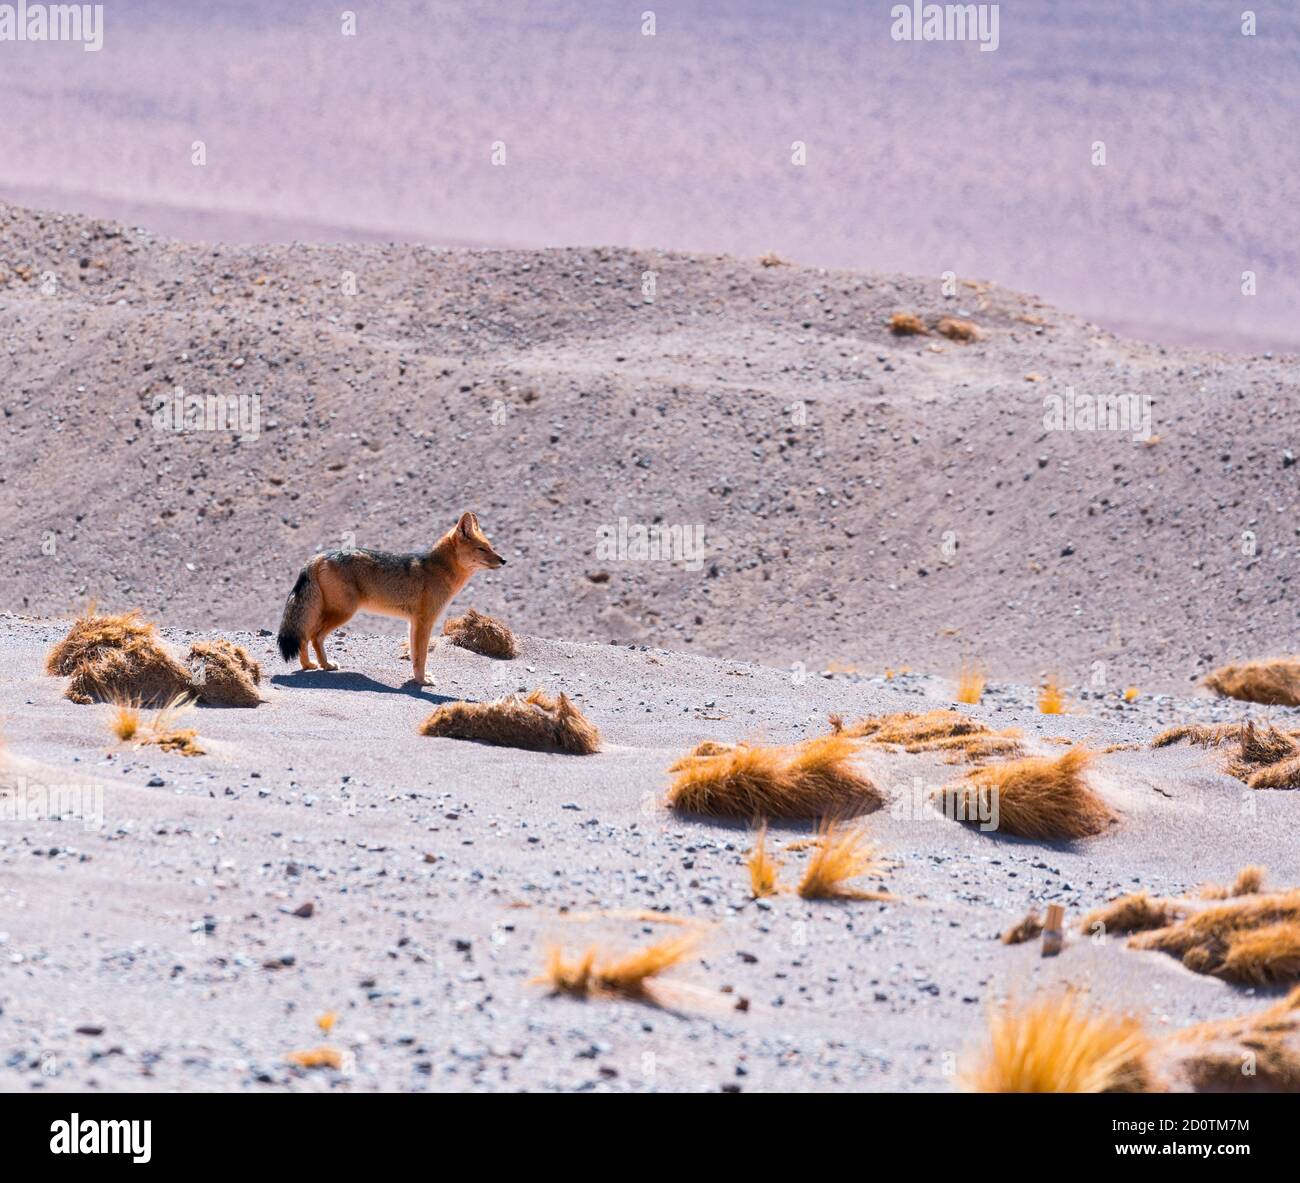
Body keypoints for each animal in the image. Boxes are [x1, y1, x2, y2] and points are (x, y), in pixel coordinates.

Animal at [276, 512, 507, 685]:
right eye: (482, 549)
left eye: (491, 547)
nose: (503, 560)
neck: (439, 569)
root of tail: (319, 556)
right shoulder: (424, 621)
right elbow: (421, 655)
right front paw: (422, 681)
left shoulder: (413, 622)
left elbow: (414, 654)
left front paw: (418, 678)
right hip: (343, 612)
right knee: (314, 636)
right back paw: (325, 665)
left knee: (304, 635)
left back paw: (309, 665)